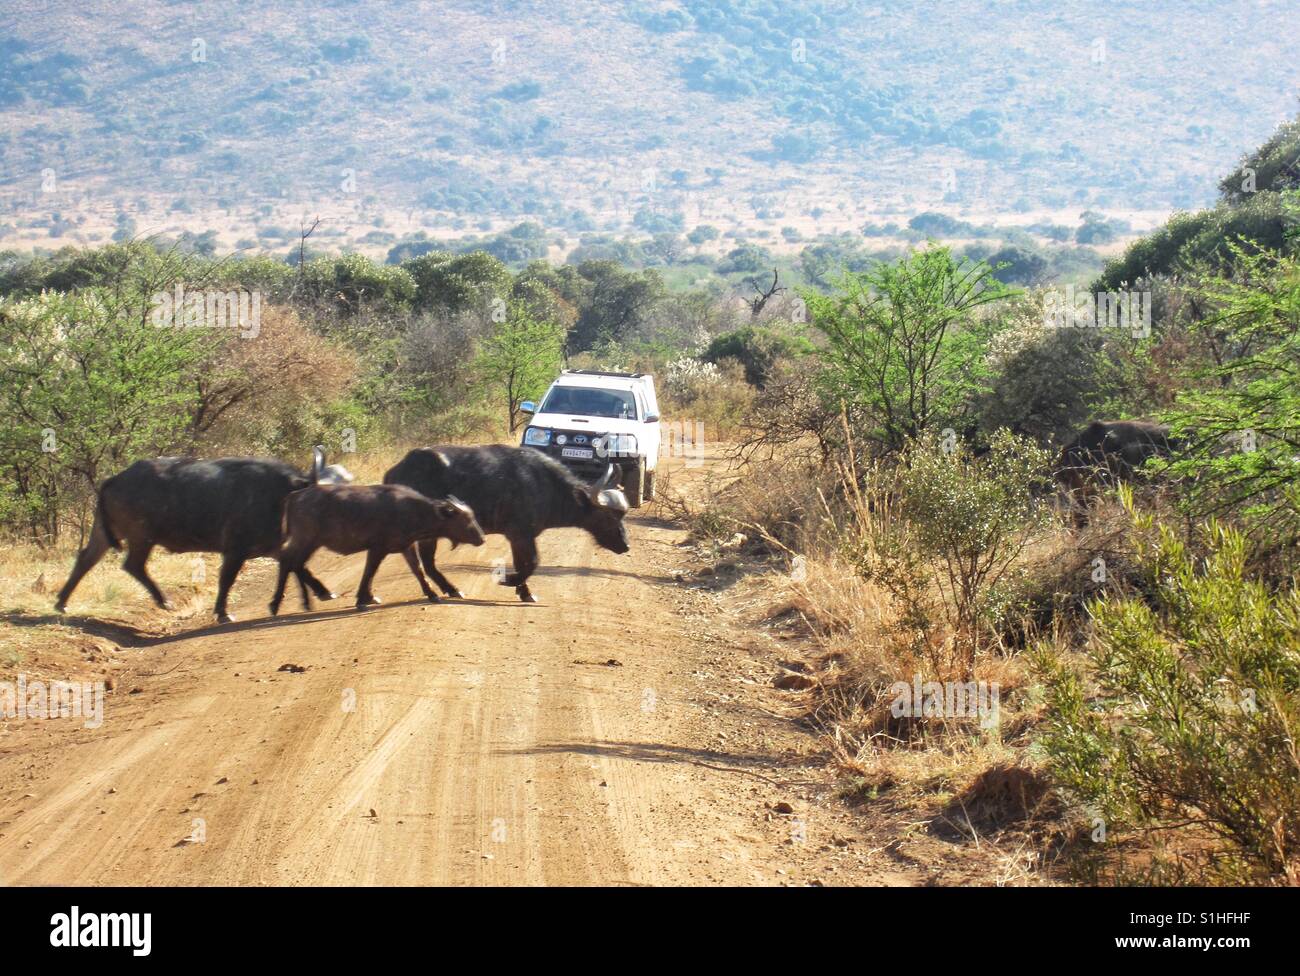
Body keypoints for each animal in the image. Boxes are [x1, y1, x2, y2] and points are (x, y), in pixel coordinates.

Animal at [55, 448, 353, 623]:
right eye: (323, 492)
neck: (280, 496)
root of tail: (114, 479)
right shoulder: (235, 550)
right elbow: (227, 579)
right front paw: (222, 612)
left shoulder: (272, 546)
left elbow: (299, 566)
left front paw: (323, 592)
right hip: (141, 537)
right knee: (133, 565)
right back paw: (164, 600)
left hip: (103, 533)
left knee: (86, 559)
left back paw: (62, 602)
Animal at [383, 445, 630, 603]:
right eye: (609, 516)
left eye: (622, 515)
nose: (625, 545)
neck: (546, 486)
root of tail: (393, 473)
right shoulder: (521, 534)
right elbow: (532, 563)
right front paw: (509, 581)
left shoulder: (516, 537)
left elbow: (522, 563)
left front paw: (524, 592)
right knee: (424, 562)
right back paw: (448, 590)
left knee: (423, 563)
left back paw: (445, 590)